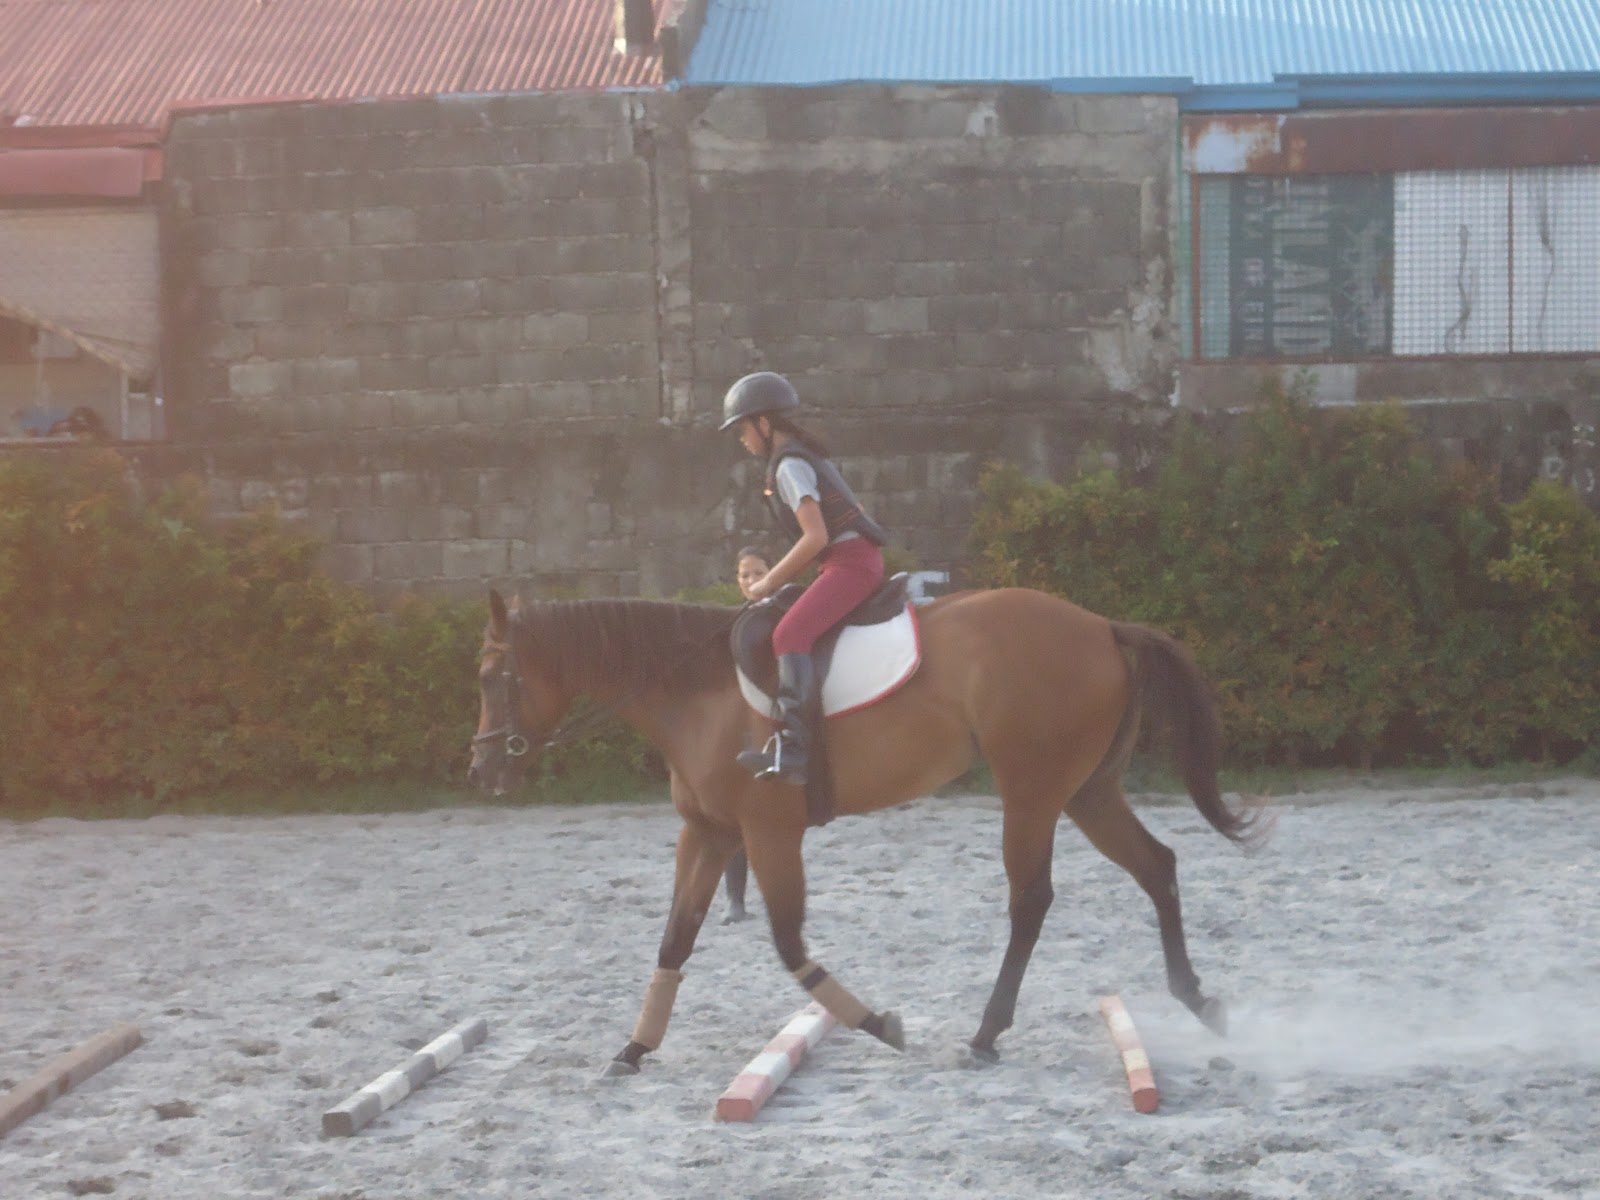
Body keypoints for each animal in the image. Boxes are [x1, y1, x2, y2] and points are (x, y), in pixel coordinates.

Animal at [468, 586, 1268, 1076]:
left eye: (489, 678)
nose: (480, 769)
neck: (696, 693)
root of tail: (1102, 625)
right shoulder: (708, 834)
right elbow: (675, 939)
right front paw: (633, 1049)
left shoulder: (768, 834)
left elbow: (790, 946)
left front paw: (879, 1023)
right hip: (1087, 792)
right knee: (1157, 865)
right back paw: (1200, 1000)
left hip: (1033, 791)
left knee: (1031, 900)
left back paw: (986, 1035)